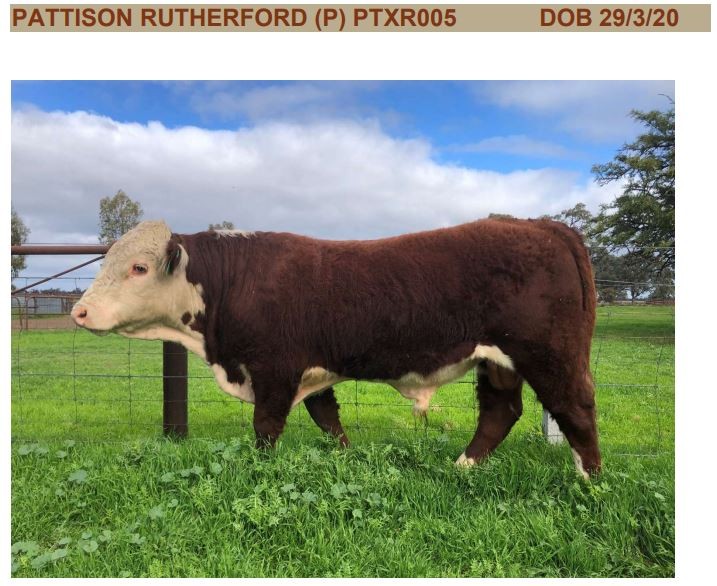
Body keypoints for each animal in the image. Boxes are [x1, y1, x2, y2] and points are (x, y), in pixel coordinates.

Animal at [71, 218, 600, 477]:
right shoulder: (311, 369)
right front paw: (346, 457)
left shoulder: (275, 369)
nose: (79, 311)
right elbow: (327, 419)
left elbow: (266, 428)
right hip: (497, 360)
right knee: (500, 411)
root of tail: (542, 225)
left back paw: (588, 480)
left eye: (139, 268)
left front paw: (258, 470)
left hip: (549, 353)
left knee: (575, 406)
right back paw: (464, 467)